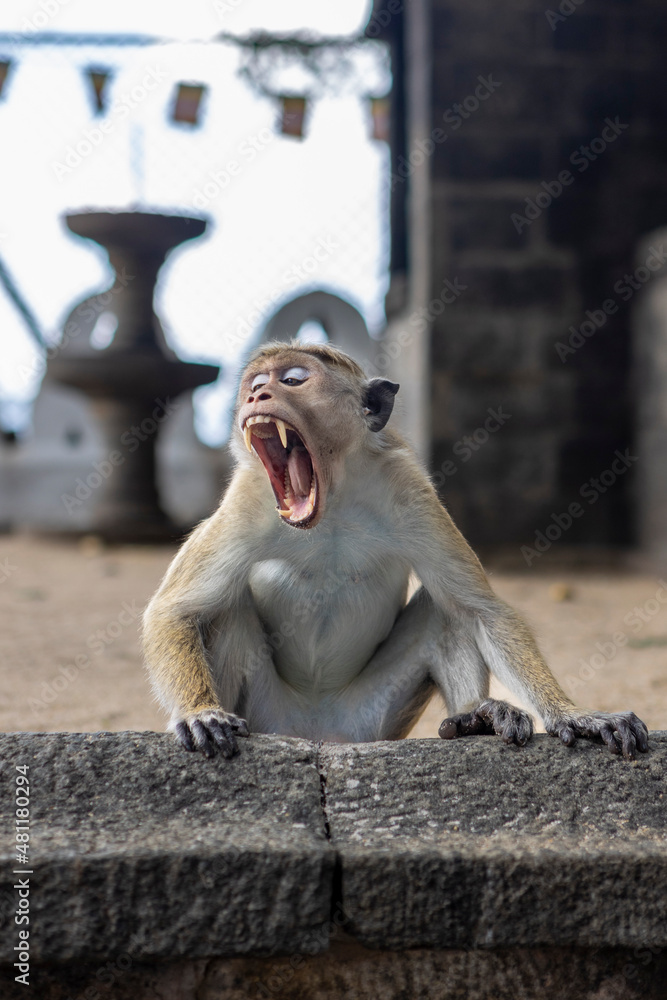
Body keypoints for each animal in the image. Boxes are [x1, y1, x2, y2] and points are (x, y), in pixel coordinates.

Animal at [142, 341, 649, 761]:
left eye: (292, 380)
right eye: (256, 384)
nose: (256, 398)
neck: (334, 501)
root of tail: (319, 738)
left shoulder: (408, 489)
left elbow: (480, 610)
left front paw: (573, 714)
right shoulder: (247, 501)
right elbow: (176, 610)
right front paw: (199, 712)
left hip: (368, 722)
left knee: (446, 610)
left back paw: (476, 717)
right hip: (272, 714)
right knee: (223, 608)